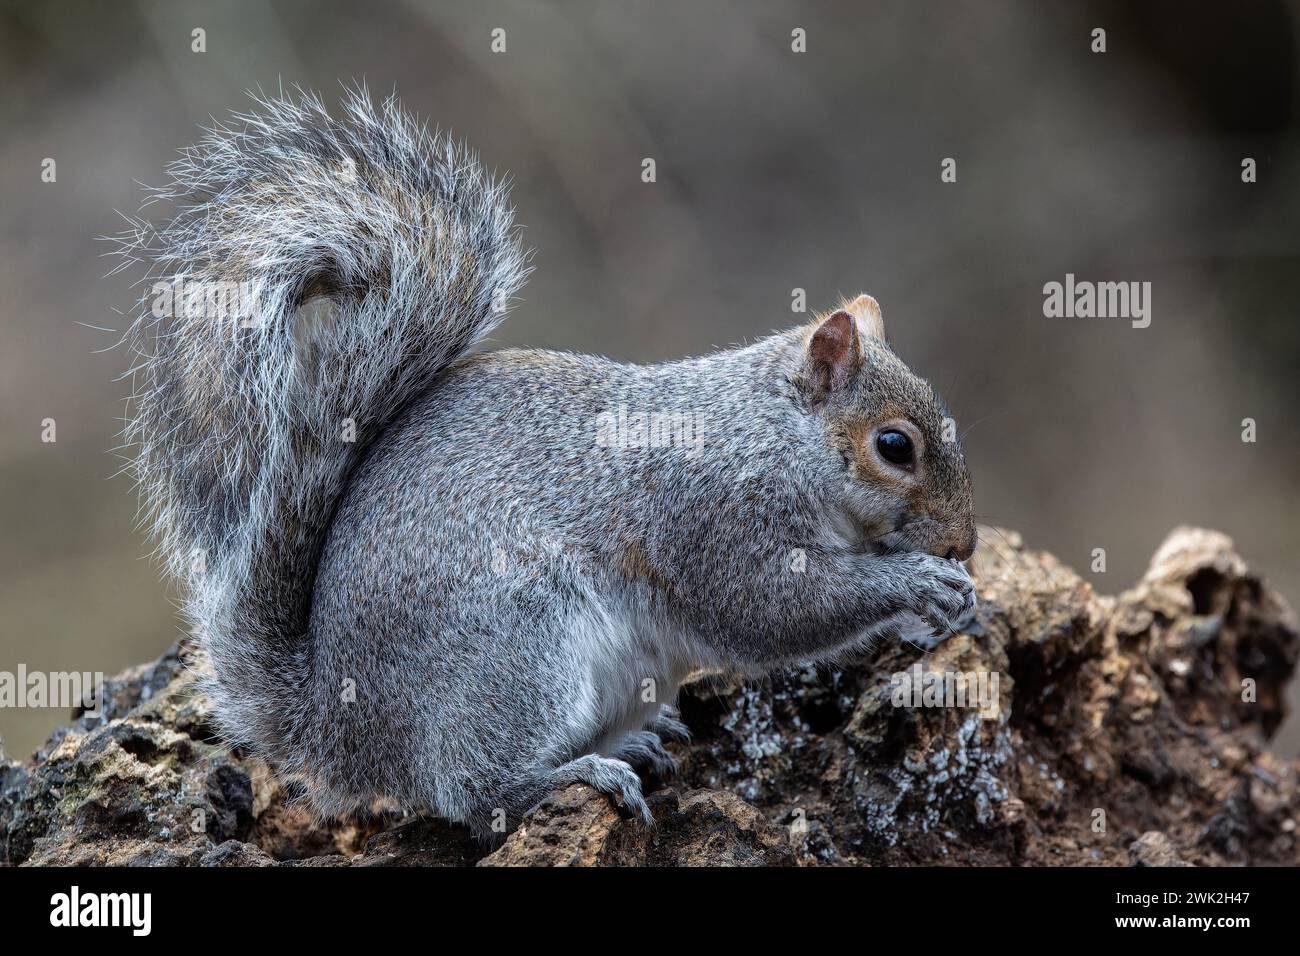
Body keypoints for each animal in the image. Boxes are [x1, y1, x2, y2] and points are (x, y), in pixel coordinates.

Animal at [117, 89, 977, 839]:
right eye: (894, 446)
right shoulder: (712, 515)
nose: (964, 543)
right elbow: (770, 608)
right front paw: (917, 584)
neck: (770, 434)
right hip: (518, 646)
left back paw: (629, 744)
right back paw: (574, 774)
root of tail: (338, 727)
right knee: (473, 793)